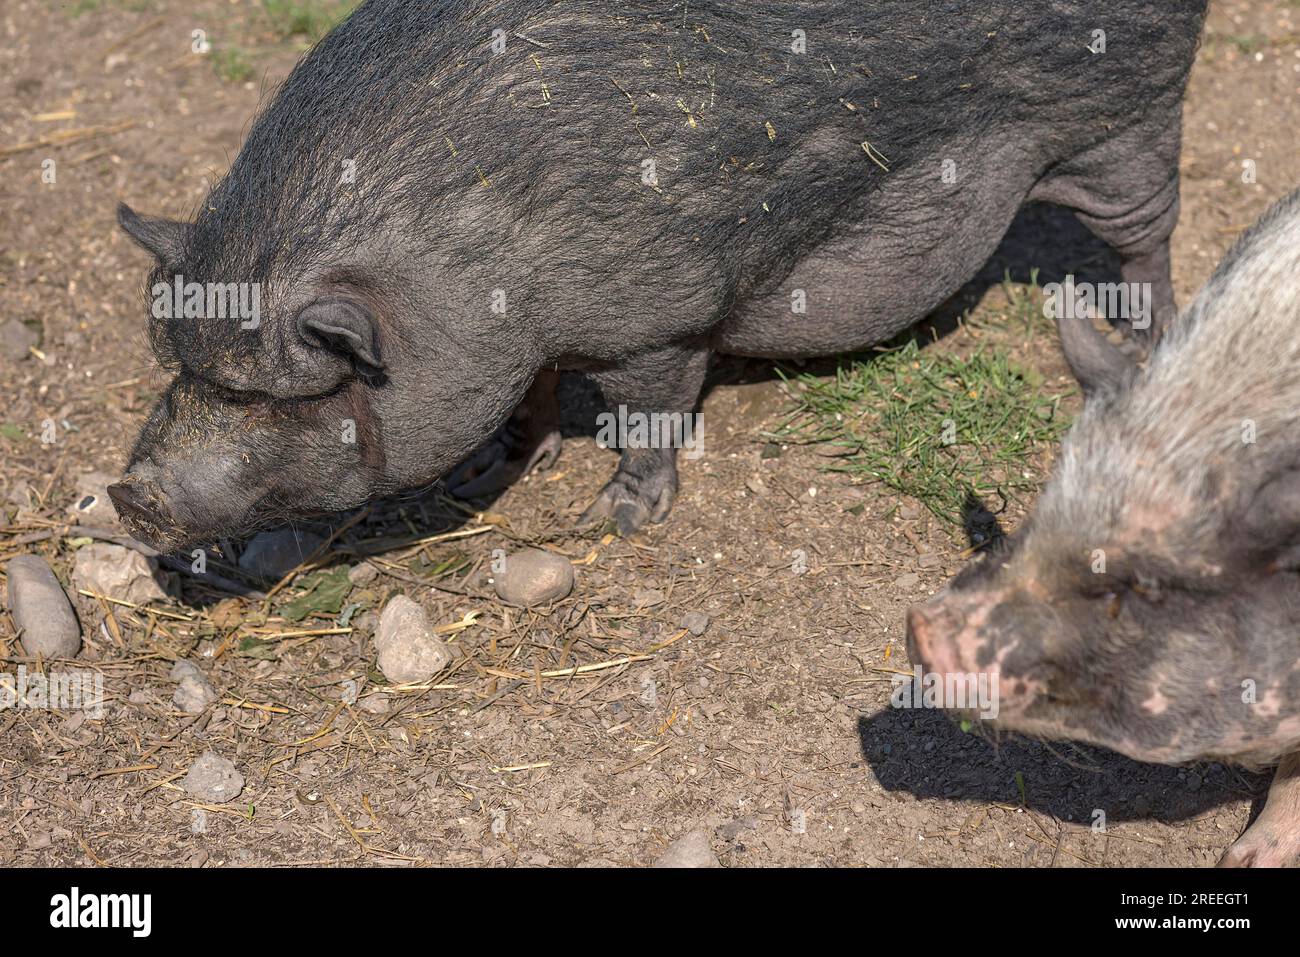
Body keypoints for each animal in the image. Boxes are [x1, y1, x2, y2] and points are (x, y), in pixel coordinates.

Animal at [110, 0, 1208, 546]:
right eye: (185, 370)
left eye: (286, 396)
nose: (129, 495)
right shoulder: (531, 337)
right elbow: (534, 398)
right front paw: (498, 465)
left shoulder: (655, 318)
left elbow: (651, 412)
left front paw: (611, 522)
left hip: (1124, 117)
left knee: (1148, 232)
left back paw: (1144, 337)